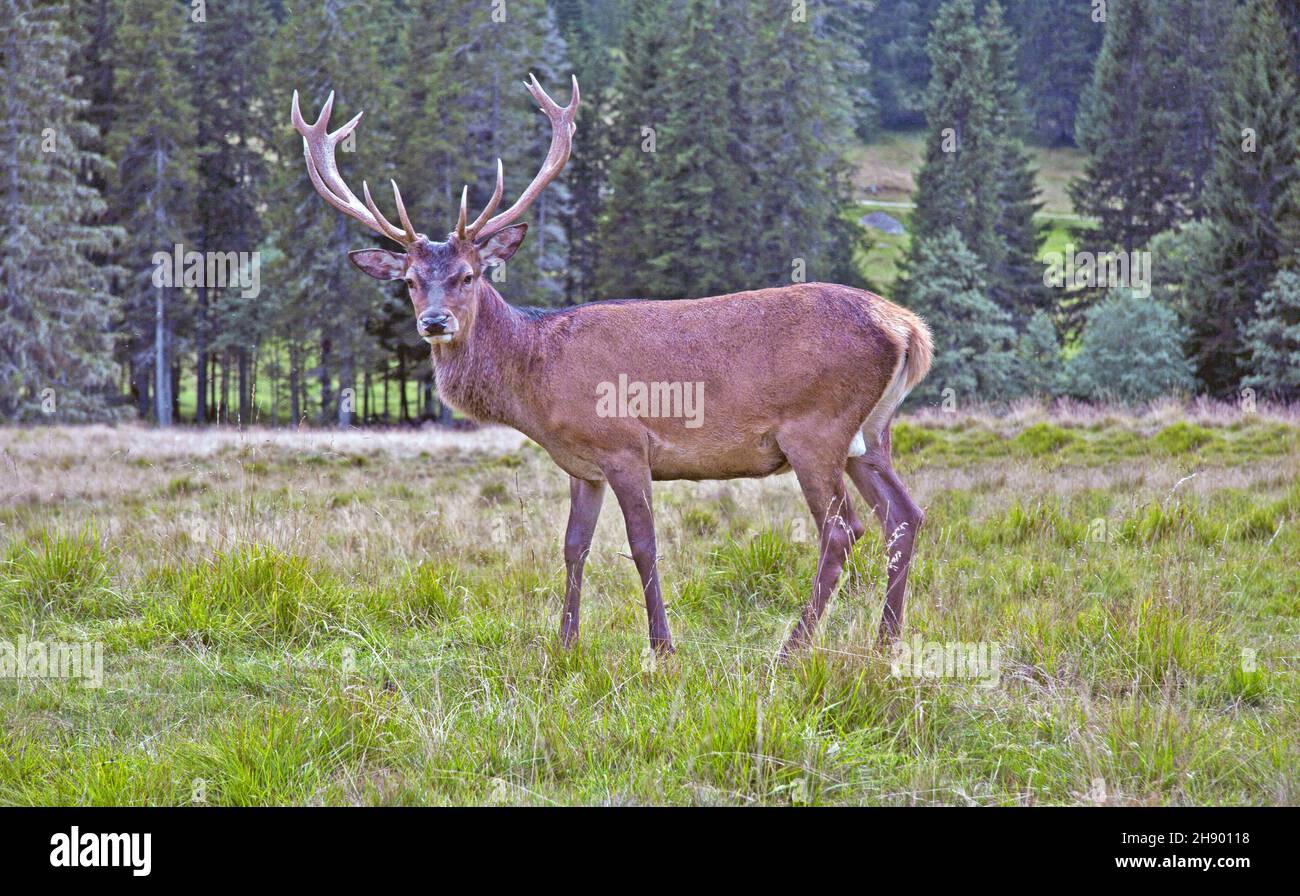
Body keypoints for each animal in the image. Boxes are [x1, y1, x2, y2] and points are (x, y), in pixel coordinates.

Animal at [290, 75, 932, 660]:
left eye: (469, 275)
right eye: (409, 281)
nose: (435, 322)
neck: (536, 376)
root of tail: (908, 328)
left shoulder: (626, 446)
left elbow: (643, 545)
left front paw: (662, 648)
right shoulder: (583, 465)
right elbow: (573, 546)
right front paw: (566, 643)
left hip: (815, 430)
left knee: (843, 532)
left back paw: (791, 649)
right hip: (870, 434)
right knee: (905, 515)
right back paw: (886, 643)